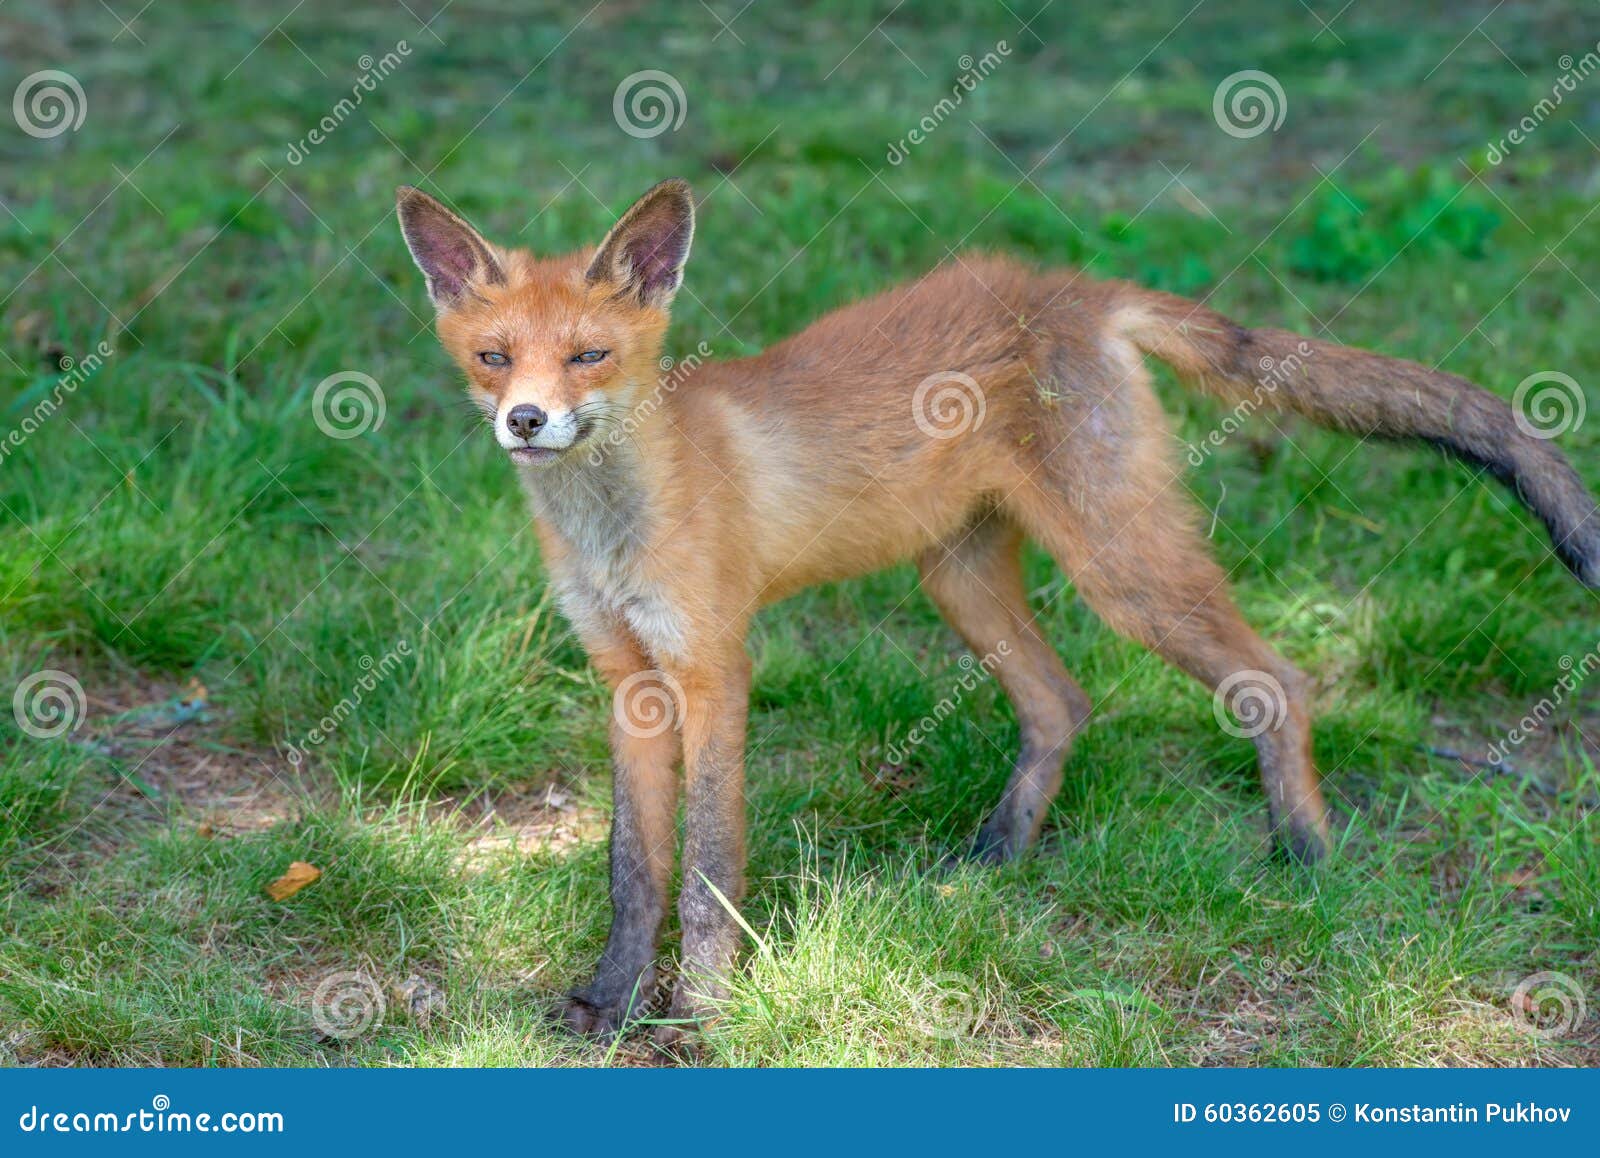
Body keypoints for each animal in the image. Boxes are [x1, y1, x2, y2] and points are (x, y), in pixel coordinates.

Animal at [397, 178, 1600, 1047]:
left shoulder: (713, 669)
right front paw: (608, 1003)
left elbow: (705, 870)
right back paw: (995, 861)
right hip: (963, 578)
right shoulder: (626, 678)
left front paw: (702, 1012)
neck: (614, 521)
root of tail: (1075, 287)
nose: (526, 420)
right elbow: (632, 870)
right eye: (494, 357)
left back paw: (1304, 855)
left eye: (589, 355)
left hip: (1122, 570)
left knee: (1280, 681)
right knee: (1064, 704)